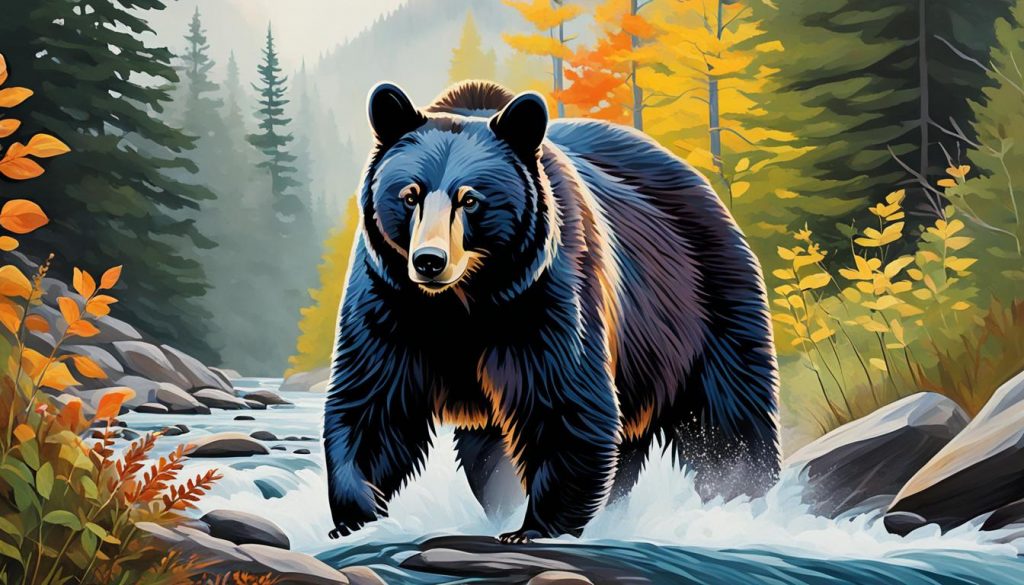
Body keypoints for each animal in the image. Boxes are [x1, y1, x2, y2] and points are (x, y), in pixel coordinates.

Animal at [323, 80, 780, 543]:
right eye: (409, 195)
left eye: (469, 200)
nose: (429, 260)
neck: (466, 302)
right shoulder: (390, 302)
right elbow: (372, 403)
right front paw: (359, 515)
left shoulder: (545, 296)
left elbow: (563, 404)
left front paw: (533, 528)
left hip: (705, 307)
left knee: (728, 420)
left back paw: (740, 501)